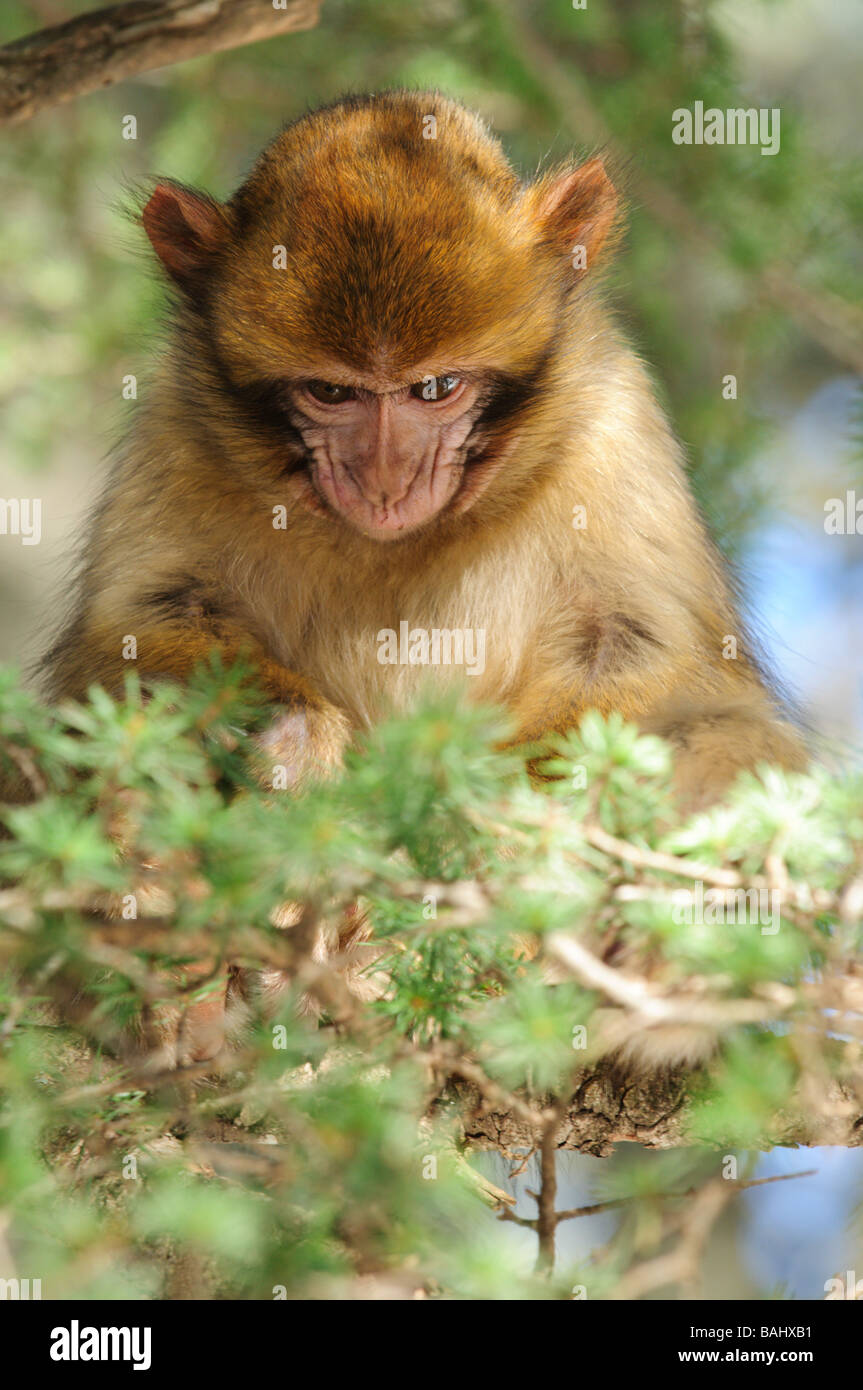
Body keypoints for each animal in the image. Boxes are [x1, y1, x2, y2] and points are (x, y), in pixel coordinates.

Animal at [40, 90, 806, 1067]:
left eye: (434, 389)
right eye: (330, 394)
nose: (384, 482)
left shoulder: (611, 419)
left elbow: (649, 661)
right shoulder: (181, 423)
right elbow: (130, 635)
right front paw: (289, 744)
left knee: (737, 747)